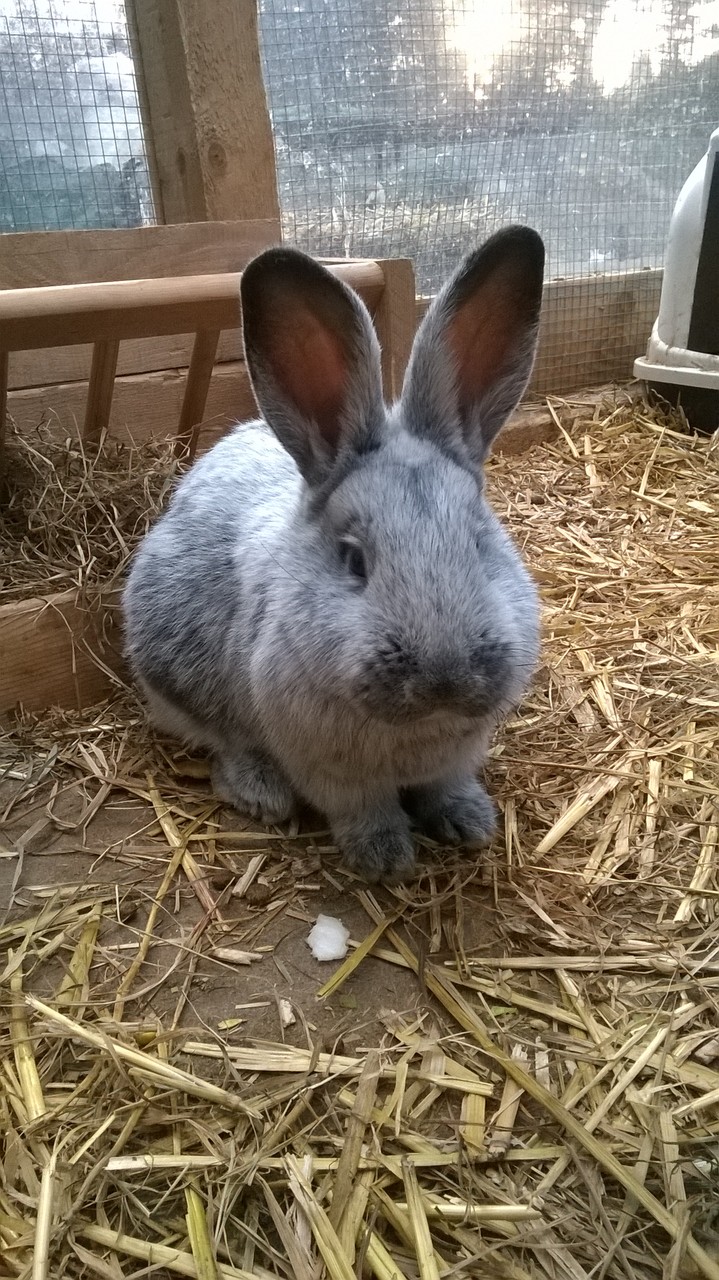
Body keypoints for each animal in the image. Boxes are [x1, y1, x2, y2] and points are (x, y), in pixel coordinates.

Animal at [123, 225, 545, 883]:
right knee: (221, 742)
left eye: (481, 544)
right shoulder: (330, 772)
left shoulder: (455, 757)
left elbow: (447, 787)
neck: (416, 733)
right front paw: (386, 858)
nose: (445, 677)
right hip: (175, 673)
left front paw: (471, 823)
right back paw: (261, 792)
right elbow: (362, 810)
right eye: (354, 561)